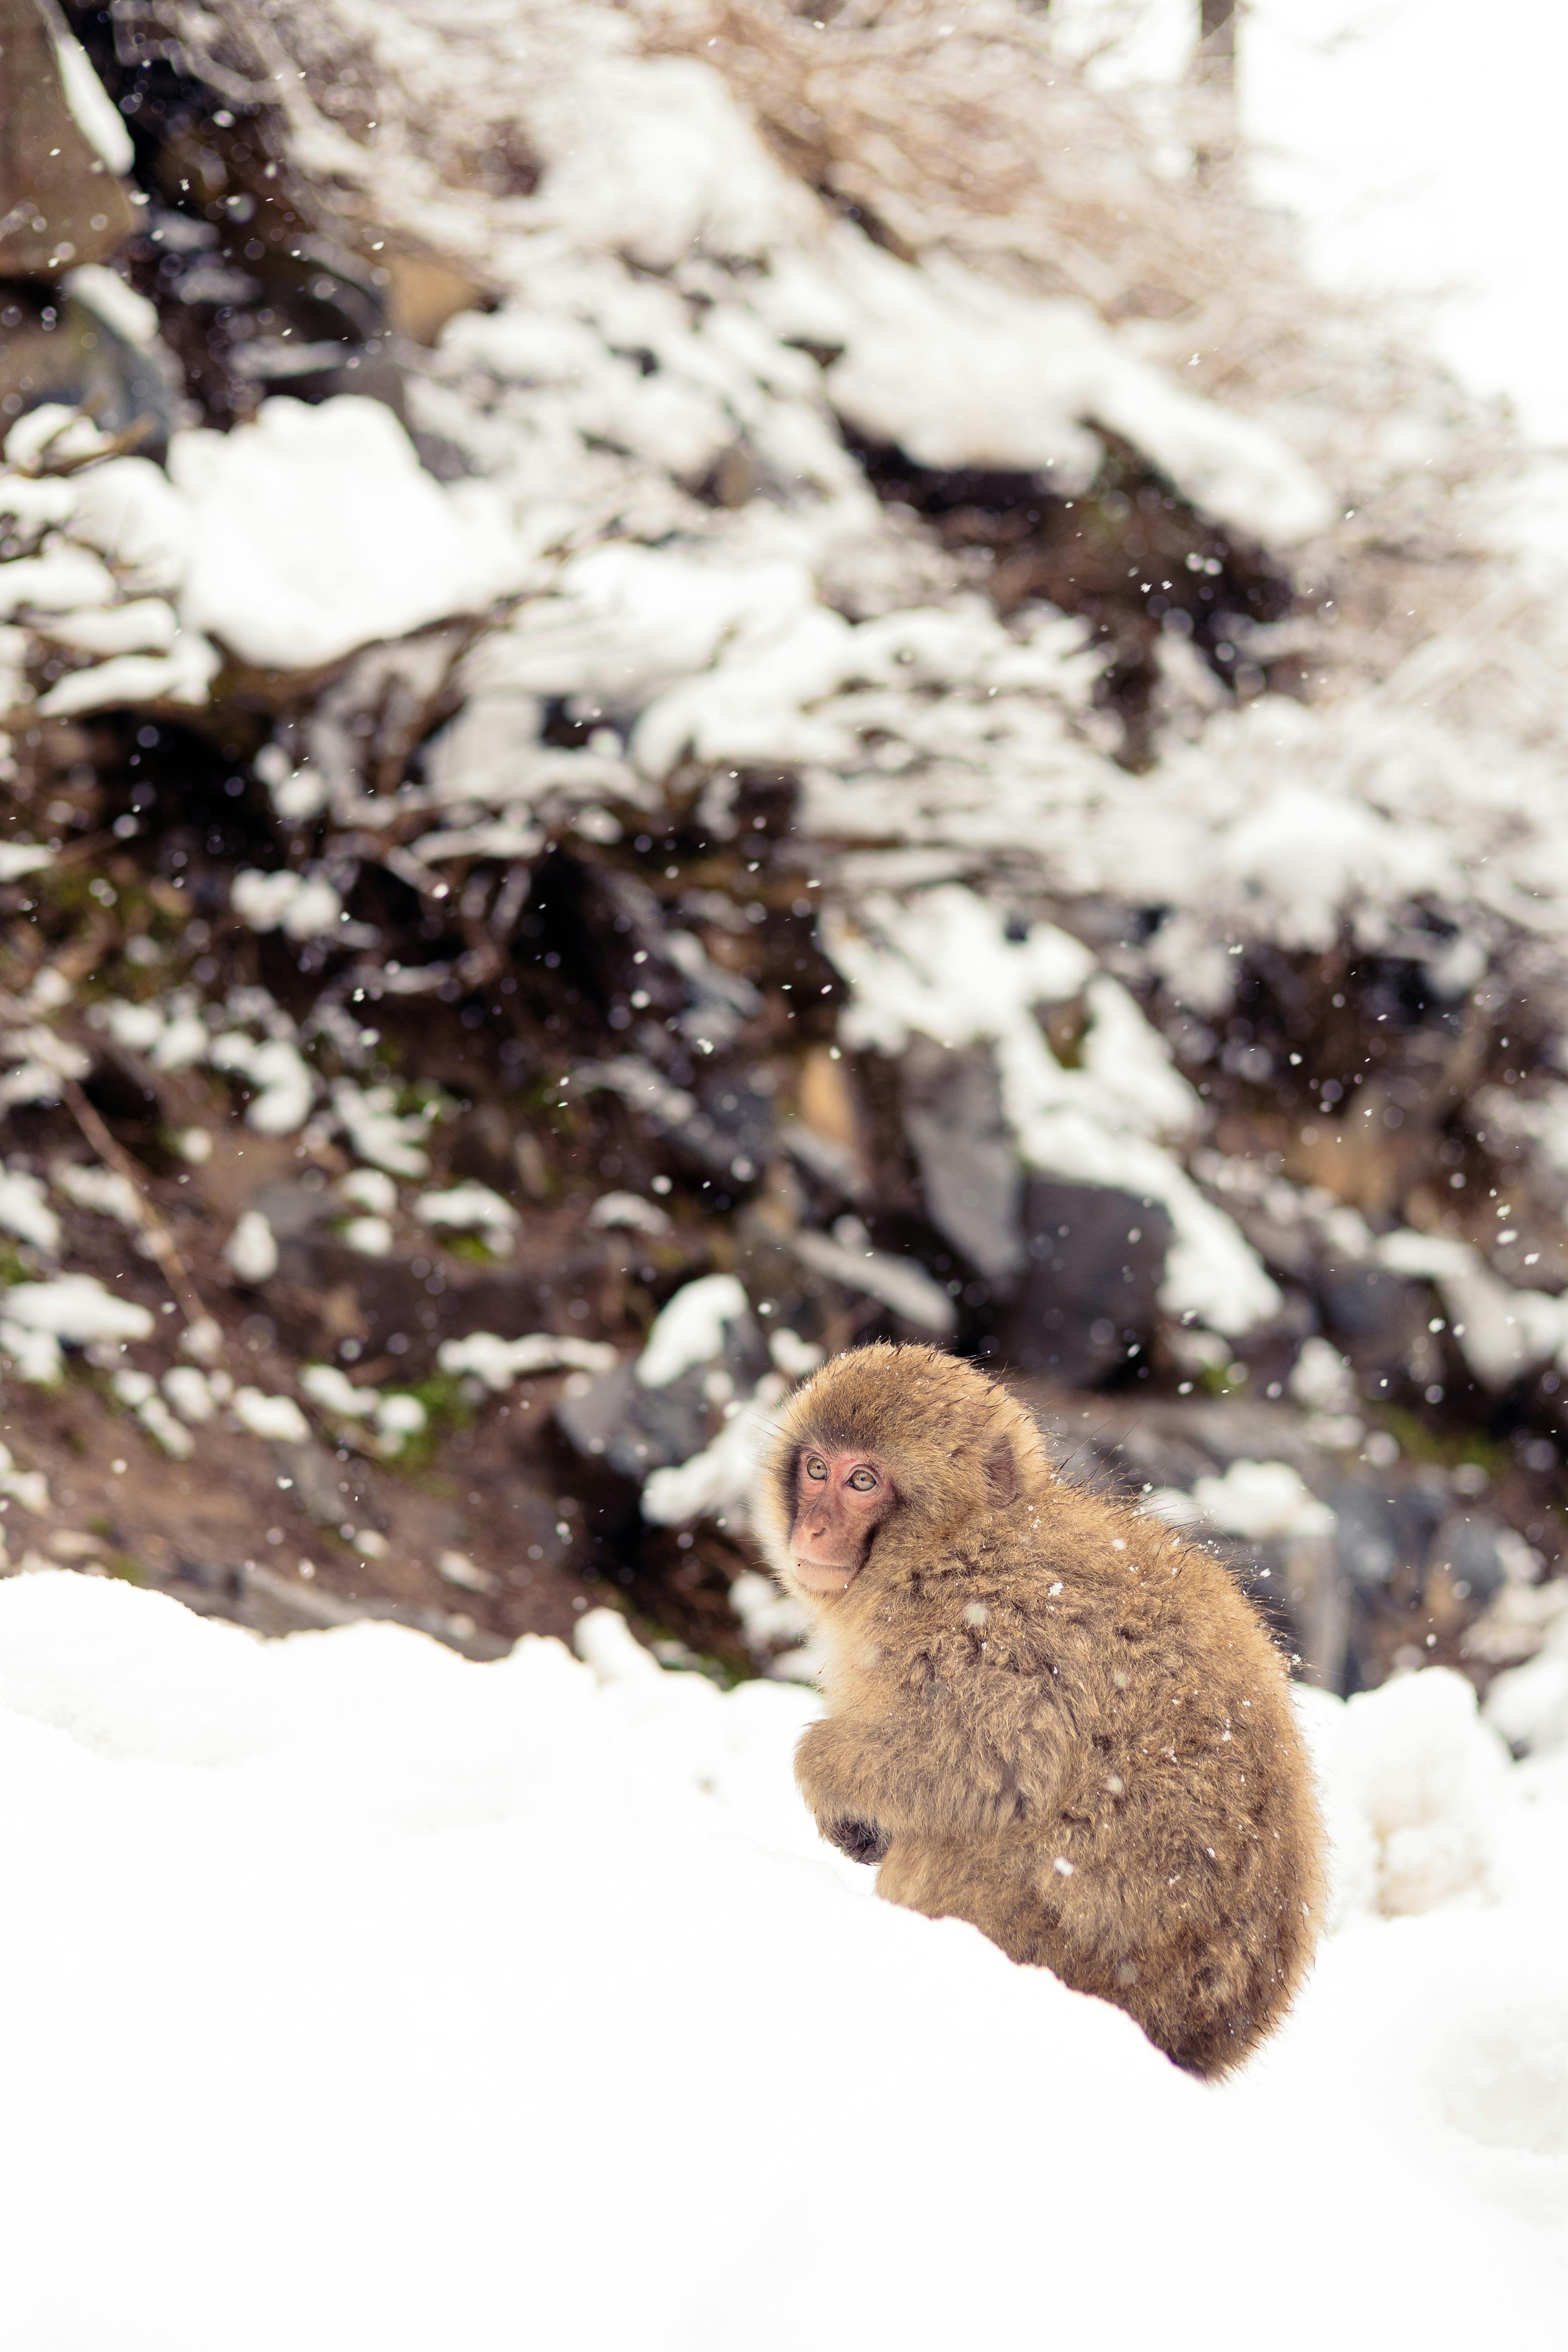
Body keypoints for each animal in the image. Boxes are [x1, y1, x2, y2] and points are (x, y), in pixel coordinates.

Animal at [753, 1343, 1325, 2078]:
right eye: (816, 1469)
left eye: (861, 1480)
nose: (813, 1527)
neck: (961, 1539)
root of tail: (1197, 2040)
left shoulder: (994, 1632)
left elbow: (989, 1764)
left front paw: (824, 1774)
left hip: (1043, 1937)